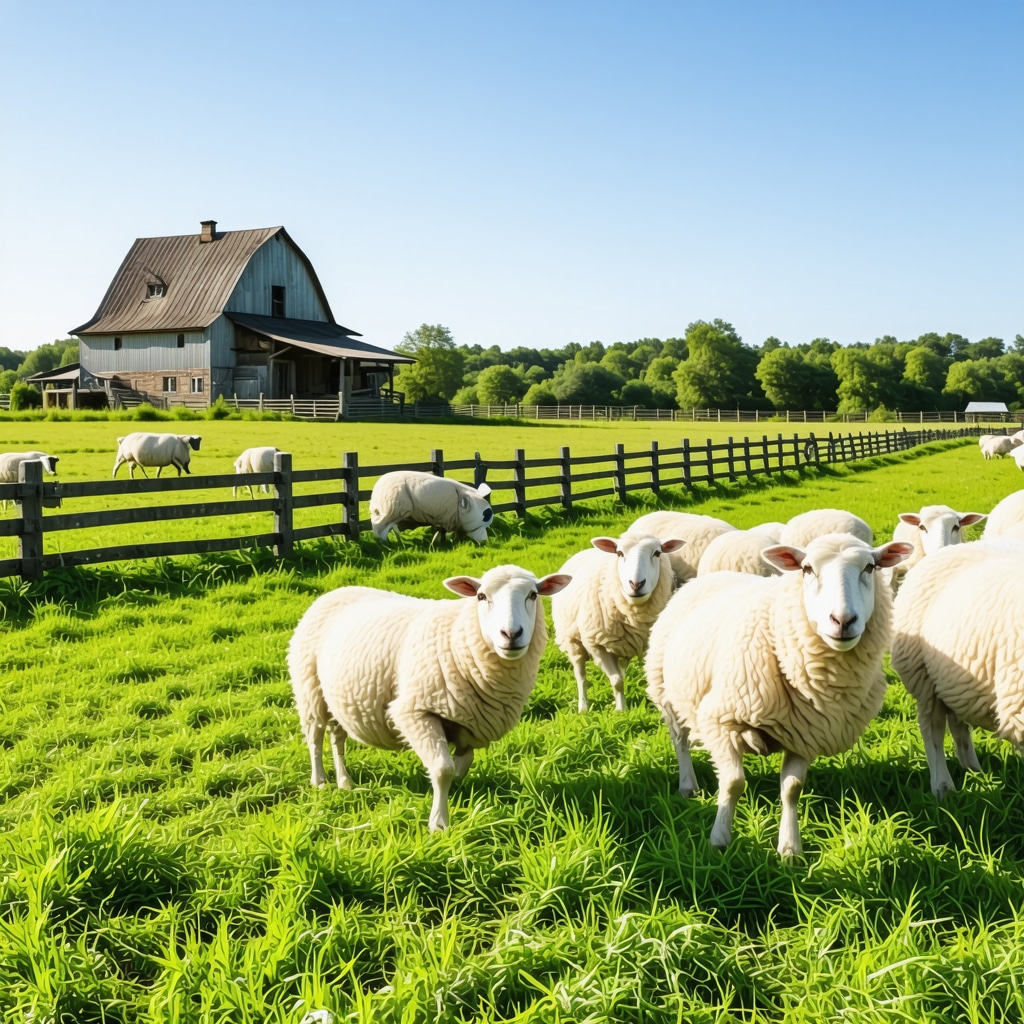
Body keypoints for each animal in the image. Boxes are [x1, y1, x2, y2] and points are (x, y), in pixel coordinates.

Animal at [288, 564, 571, 830]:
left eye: (533, 595)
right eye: (481, 596)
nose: (511, 634)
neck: (458, 637)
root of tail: (333, 593)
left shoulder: (469, 724)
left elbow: (460, 768)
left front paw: (454, 799)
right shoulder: (416, 712)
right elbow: (443, 769)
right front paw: (439, 823)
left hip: (337, 698)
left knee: (337, 738)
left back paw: (344, 781)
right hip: (309, 691)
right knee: (314, 738)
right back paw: (320, 781)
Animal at [551, 531, 685, 712]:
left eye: (657, 553)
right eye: (619, 553)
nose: (636, 584)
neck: (635, 616)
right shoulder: (596, 644)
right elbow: (617, 680)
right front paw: (621, 710)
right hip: (572, 640)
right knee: (581, 676)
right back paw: (583, 706)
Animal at [645, 532, 912, 857]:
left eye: (870, 568)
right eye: (807, 569)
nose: (843, 621)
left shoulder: (807, 731)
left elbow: (792, 789)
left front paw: (789, 847)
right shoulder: (720, 720)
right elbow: (733, 783)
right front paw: (719, 839)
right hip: (666, 693)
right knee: (680, 740)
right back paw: (687, 785)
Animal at [890, 538, 1024, 800]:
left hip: (956, 676)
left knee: (958, 722)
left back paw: (973, 770)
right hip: (923, 676)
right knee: (933, 728)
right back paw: (943, 787)